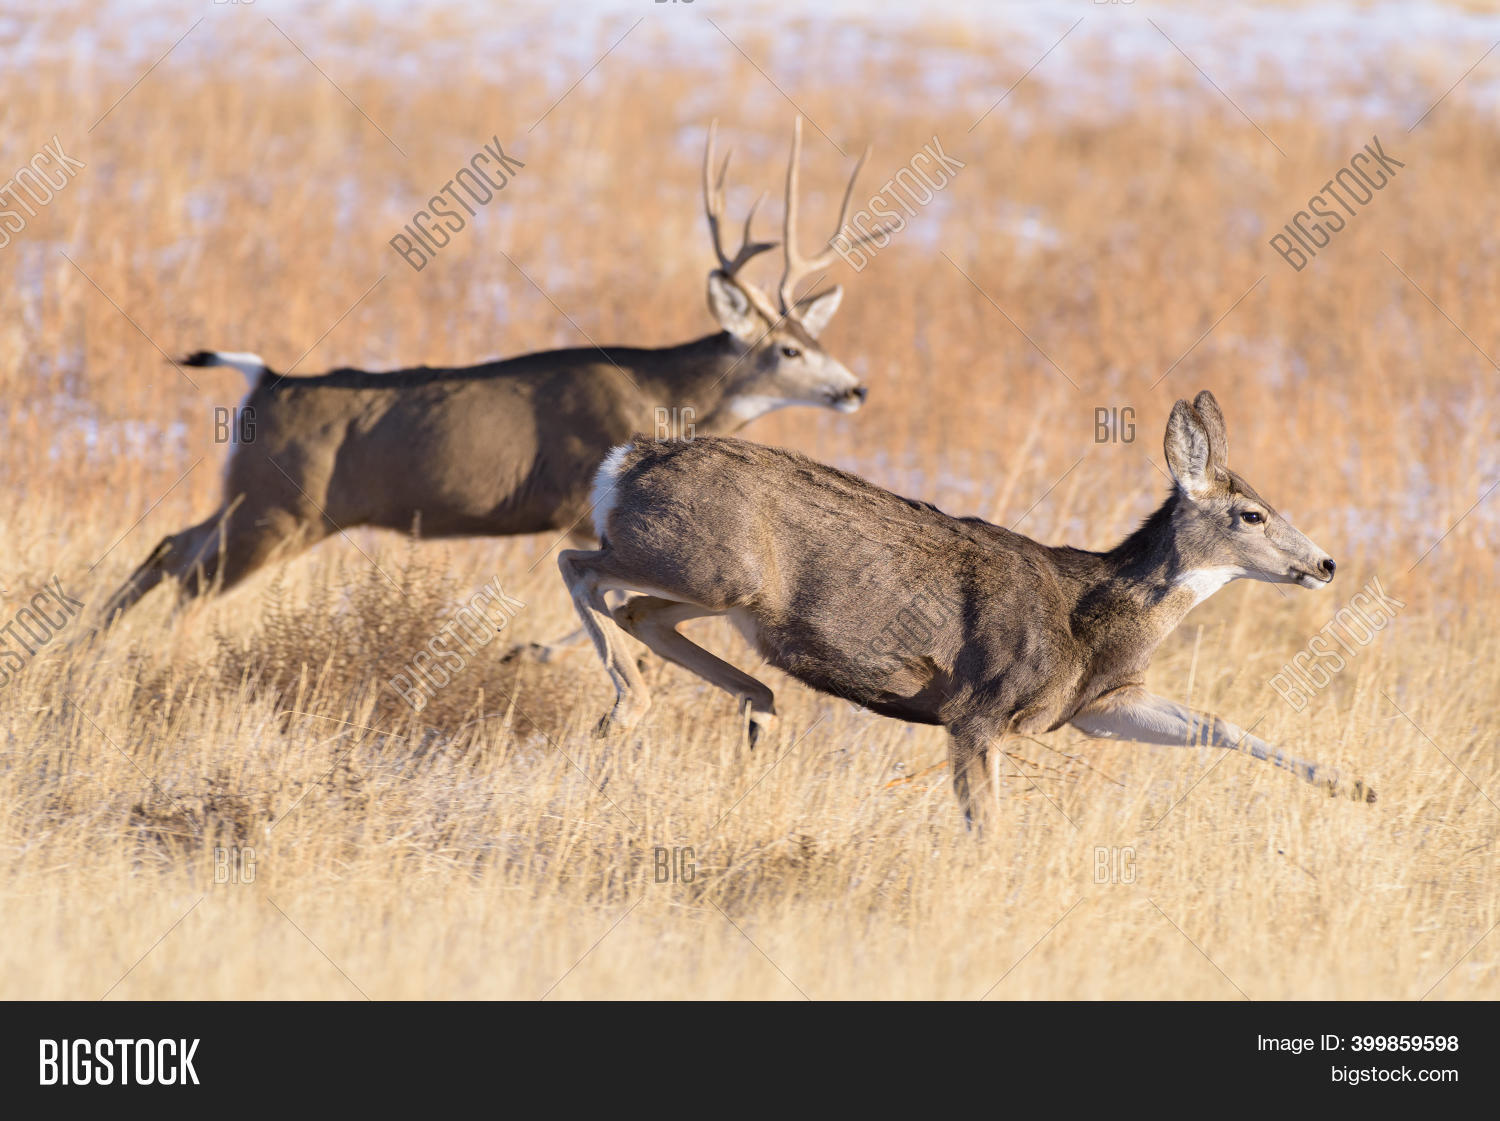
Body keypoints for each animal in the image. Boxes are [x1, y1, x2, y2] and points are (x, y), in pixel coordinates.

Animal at [96, 117, 892, 642]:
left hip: (258, 499)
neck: (661, 393)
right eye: (787, 351)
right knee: (188, 577)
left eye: (816, 336)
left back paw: (88, 654)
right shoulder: (580, 502)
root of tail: (263, 380)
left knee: (169, 547)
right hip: (279, 506)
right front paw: (533, 654)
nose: (856, 389)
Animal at [561, 390, 1376, 828]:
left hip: (720, 589)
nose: (1326, 564)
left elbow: (1215, 723)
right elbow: (988, 824)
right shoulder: (978, 708)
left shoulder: (1095, 704)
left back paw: (755, 705)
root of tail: (623, 462)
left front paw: (1354, 784)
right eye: (1251, 514)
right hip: (706, 566)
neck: (1094, 621)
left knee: (639, 613)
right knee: (581, 566)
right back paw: (628, 705)